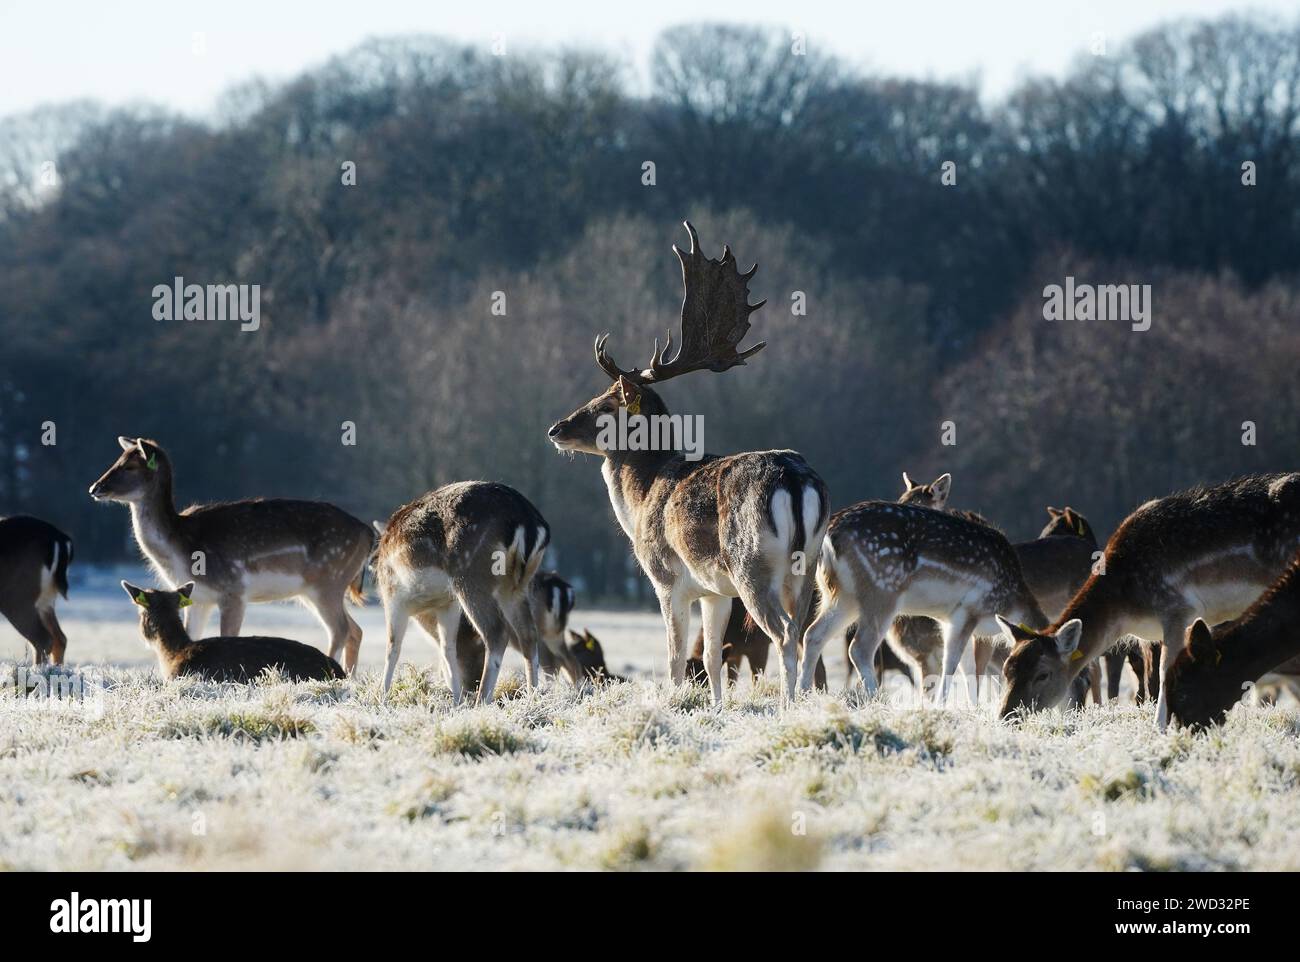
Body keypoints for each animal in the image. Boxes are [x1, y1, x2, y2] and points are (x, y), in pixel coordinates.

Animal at [373, 481, 550, 703]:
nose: (470, 684)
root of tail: (528, 521)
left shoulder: (393, 596)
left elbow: (392, 647)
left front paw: (381, 697)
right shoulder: (447, 603)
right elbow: (447, 648)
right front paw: (456, 701)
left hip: (470, 576)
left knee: (497, 631)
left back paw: (482, 700)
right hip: (516, 585)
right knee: (528, 633)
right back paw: (532, 697)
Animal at [547, 221, 828, 705]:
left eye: (606, 404)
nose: (556, 429)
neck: (641, 497)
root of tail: (794, 481)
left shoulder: (666, 578)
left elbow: (676, 658)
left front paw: (675, 702)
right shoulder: (715, 591)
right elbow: (713, 657)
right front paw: (715, 707)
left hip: (752, 563)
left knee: (784, 633)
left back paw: (787, 703)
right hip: (807, 565)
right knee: (805, 633)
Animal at [801, 498, 1049, 705]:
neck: (1012, 600)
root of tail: (830, 536)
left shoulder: (951, 619)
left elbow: (968, 667)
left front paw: (974, 709)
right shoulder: (967, 610)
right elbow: (952, 663)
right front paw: (941, 705)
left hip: (841, 597)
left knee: (813, 634)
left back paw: (801, 696)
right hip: (881, 592)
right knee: (859, 648)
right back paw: (875, 700)